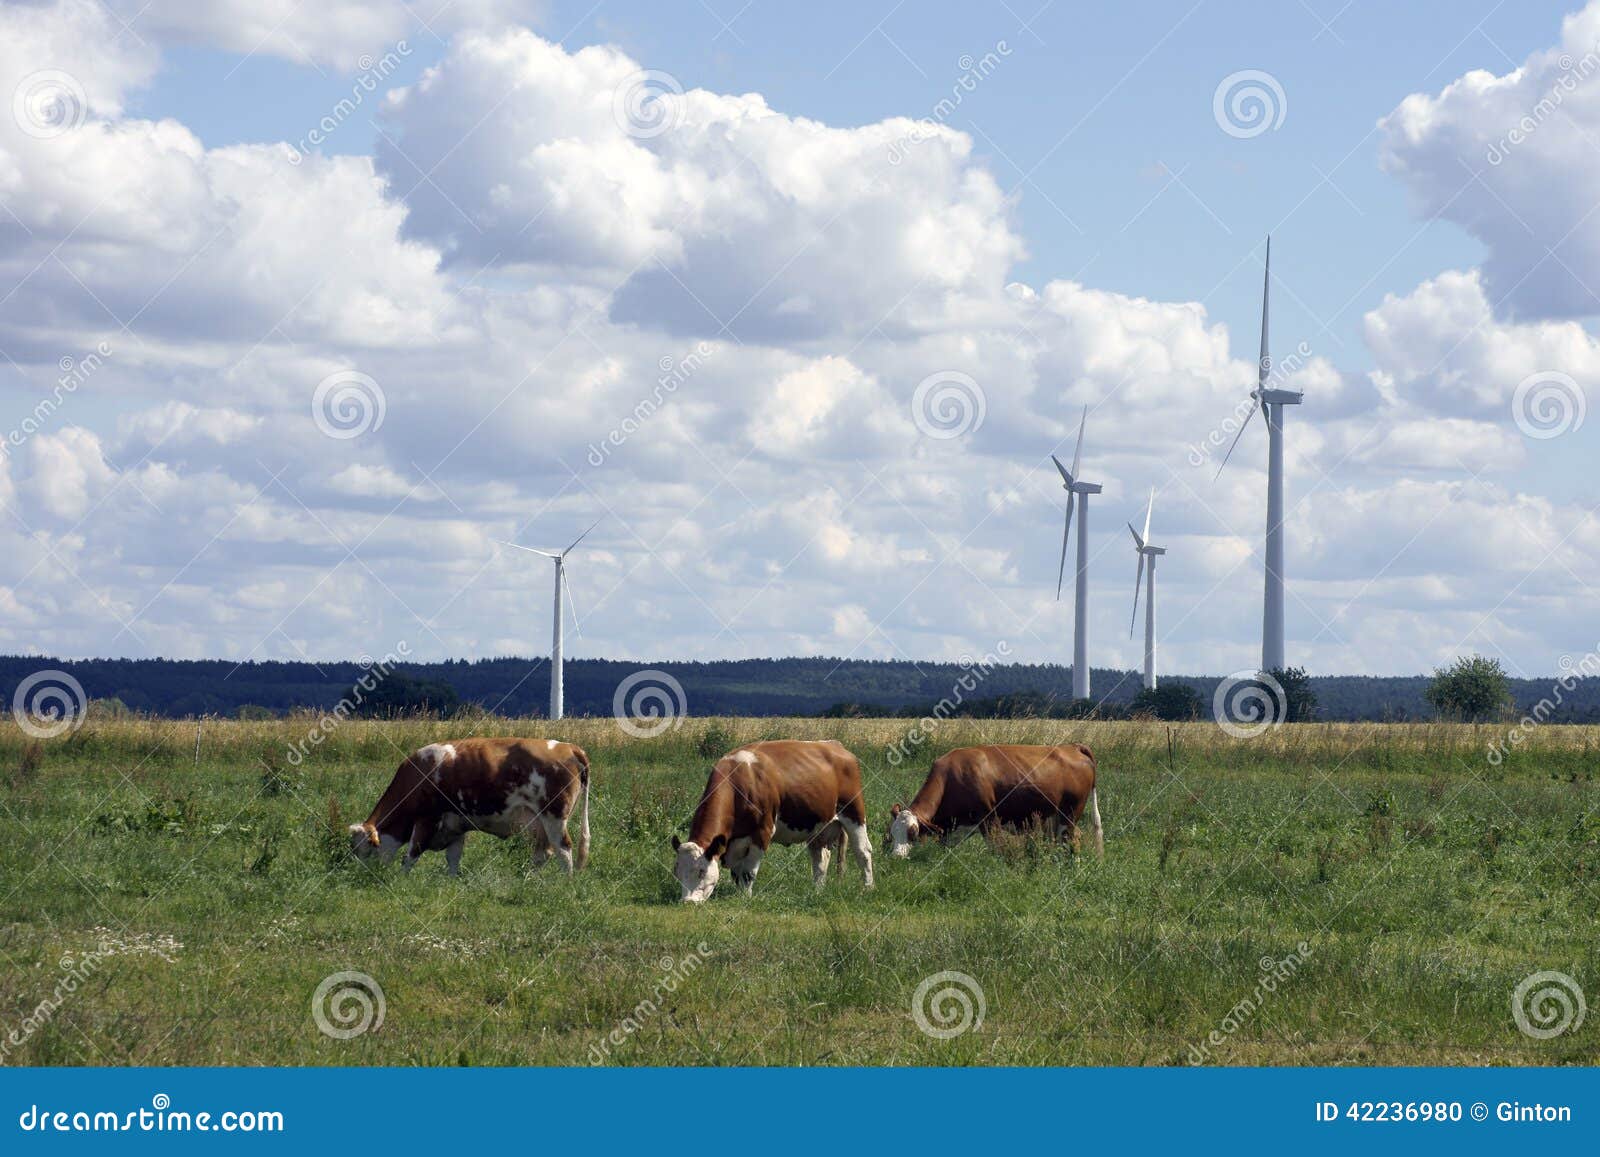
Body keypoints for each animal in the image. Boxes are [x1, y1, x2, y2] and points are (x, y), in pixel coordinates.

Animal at [348, 737, 590, 875]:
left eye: (365, 849)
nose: (359, 876)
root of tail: (569, 747)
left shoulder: (428, 819)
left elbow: (411, 855)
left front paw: (400, 881)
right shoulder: (455, 825)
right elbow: (453, 858)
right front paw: (451, 881)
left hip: (553, 815)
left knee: (563, 849)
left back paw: (565, 881)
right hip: (538, 821)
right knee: (544, 852)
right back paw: (530, 880)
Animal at [671, 740, 873, 903]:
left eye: (701, 871)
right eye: (677, 871)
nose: (687, 902)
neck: (738, 784)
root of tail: (834, 744)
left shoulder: (762, 832)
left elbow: (748, 872)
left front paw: (745, 899)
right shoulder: (736, 842)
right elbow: (737, 873)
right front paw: (739, 894)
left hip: (854, 812)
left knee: (863, 851)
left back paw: (867, 888)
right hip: (818, 826)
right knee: (821, 858)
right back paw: (817, 891)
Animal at [885, 743, 1102, 858]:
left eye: (913, 833)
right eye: (892, 833)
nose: (897, 857)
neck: (950, 777)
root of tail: (1071, 747)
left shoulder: (988, 819)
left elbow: (997, 849)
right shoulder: (949, 828)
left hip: (1070, 813)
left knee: (1073, 840)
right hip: (1053, 817)